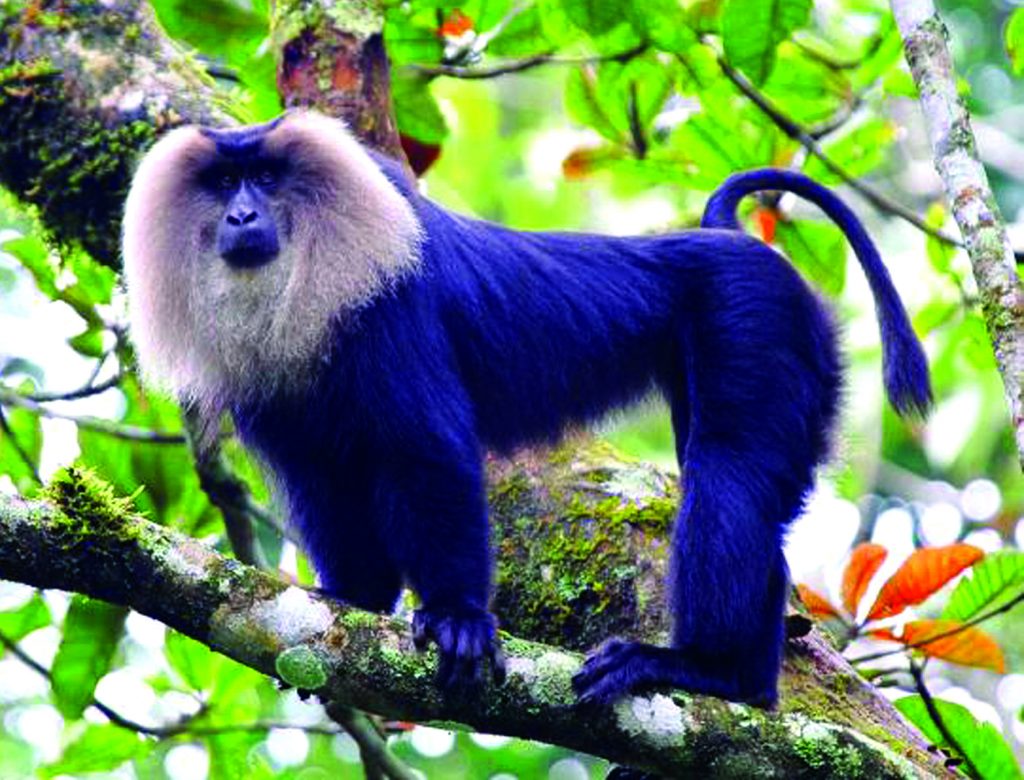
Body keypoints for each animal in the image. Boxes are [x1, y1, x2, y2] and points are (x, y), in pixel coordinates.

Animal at [122, 111, 930, 707]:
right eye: (224, 181)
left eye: (264, 177)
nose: (241, 215)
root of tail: (729, 244)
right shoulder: (279, 399)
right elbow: (324, 484)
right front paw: (352, 597)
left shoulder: (389, 311)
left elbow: (428, 454)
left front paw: (457, 619)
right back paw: (751, 687)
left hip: (757, 325)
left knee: (732, 474)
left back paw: (702, 669)